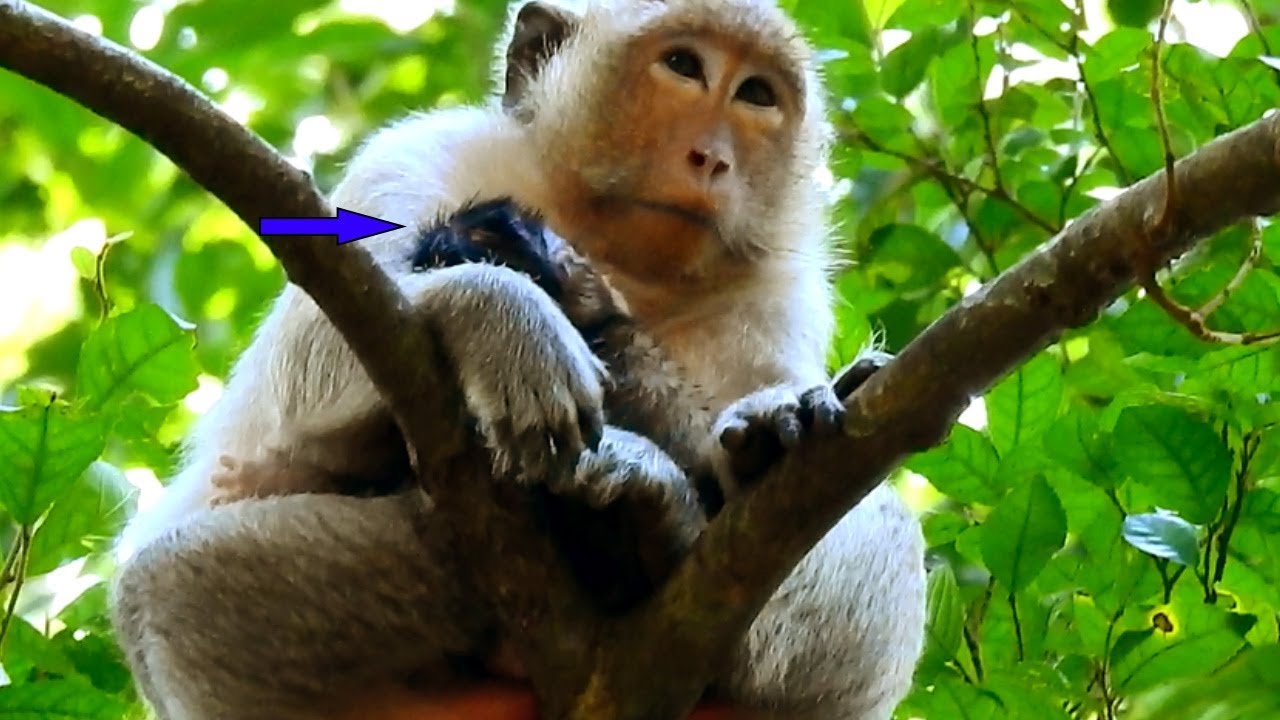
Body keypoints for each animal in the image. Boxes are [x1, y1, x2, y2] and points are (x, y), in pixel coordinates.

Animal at [111, 2, 927, 719]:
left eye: (756, 94)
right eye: (684, 67)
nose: (711, 158)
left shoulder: (779, 292)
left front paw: (753, 422)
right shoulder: (428, 151)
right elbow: (316, 352)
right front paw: (505, 314)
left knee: (859, 510)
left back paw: (660, 516)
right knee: (168, 585)